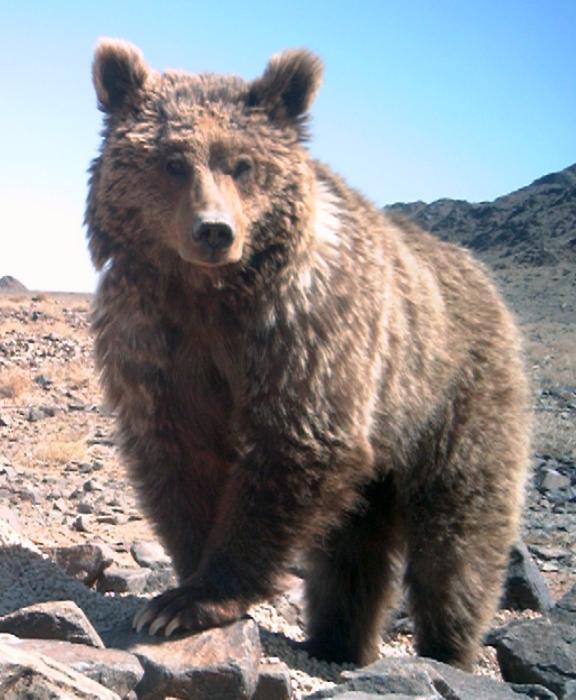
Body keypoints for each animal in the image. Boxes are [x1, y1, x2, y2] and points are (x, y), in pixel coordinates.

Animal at [86, 39, 531, 670]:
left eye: (243, 163)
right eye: (173, 161)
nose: (214, 231)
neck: (213, 294)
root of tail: (483, 279)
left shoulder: (306, 328)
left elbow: (296, 441)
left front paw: (194, 599)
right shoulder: (155, 334)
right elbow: (178, 449)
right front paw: (181, 582)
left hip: (455, 394)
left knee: (457, 534)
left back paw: (448, 647)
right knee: (352, 547)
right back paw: (339, 639)